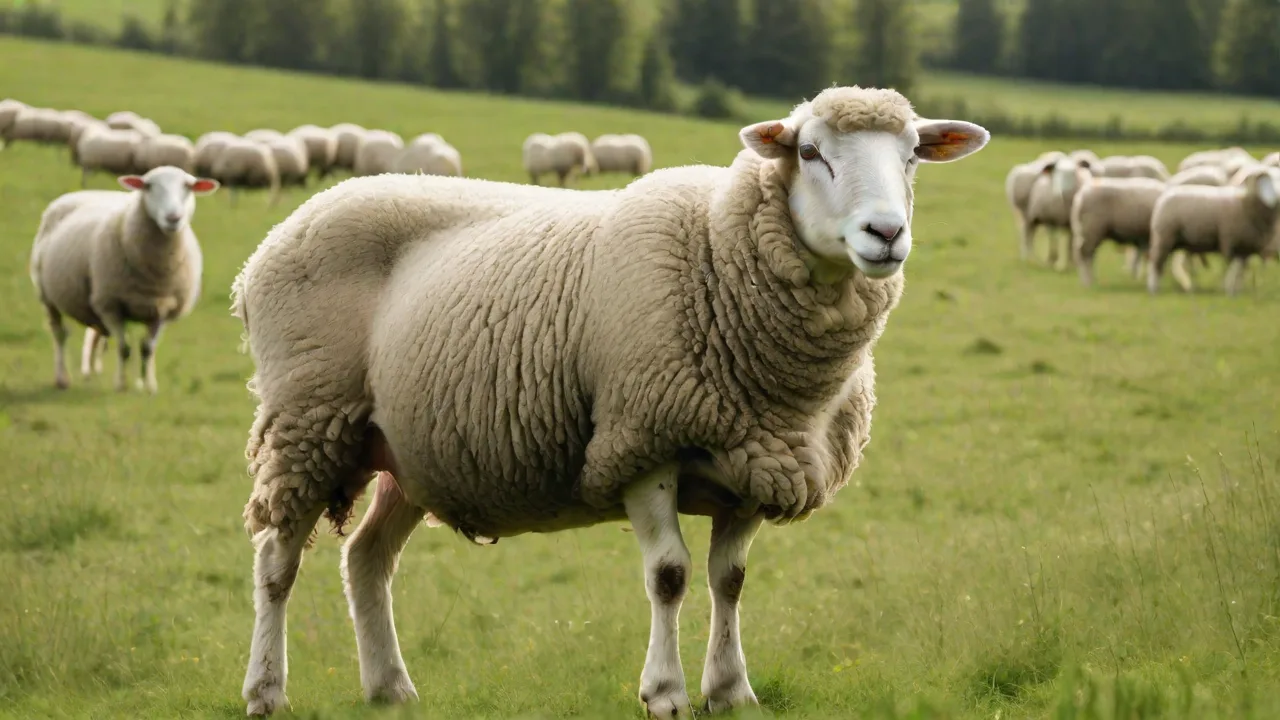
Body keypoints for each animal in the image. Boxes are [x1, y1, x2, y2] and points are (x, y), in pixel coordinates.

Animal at [28, 166, 219, 393]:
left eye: (188, 186)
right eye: (148, 186)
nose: (173, 218)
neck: (154, 273)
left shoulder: (163, 309)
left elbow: (147, 348)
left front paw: (148, 386)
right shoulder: (111, 305)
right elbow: (124, 348)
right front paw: (121, 384)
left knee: (95, 333)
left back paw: (91, 371)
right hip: (47, 295)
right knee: (59, 334)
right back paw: (62, 378)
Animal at [230, 85, 991, 718]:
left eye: (913, 154)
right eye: (809, 152)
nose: (885, 234)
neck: (719, 252)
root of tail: (265, 249)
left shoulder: (754, 457)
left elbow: (730, 579)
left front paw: (732, 691)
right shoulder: (641, 442)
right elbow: (670, 575)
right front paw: (666, 693)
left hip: (404, 449)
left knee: (367, 559)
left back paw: (390, 689)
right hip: (307, 417)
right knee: (275, 562)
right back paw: (266, 691)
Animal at [1148, 166, 1280, 296]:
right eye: (1266, 180)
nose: (1275, 198)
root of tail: (1163, 197)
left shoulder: (1245, 246)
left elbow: (1239, 271)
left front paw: (1236, 290)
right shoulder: (1231, 240)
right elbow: (1232, 268)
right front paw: (1229, 291)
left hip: (1175, 240)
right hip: (1164, 236)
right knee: (1155, 263)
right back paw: (1154, 289)